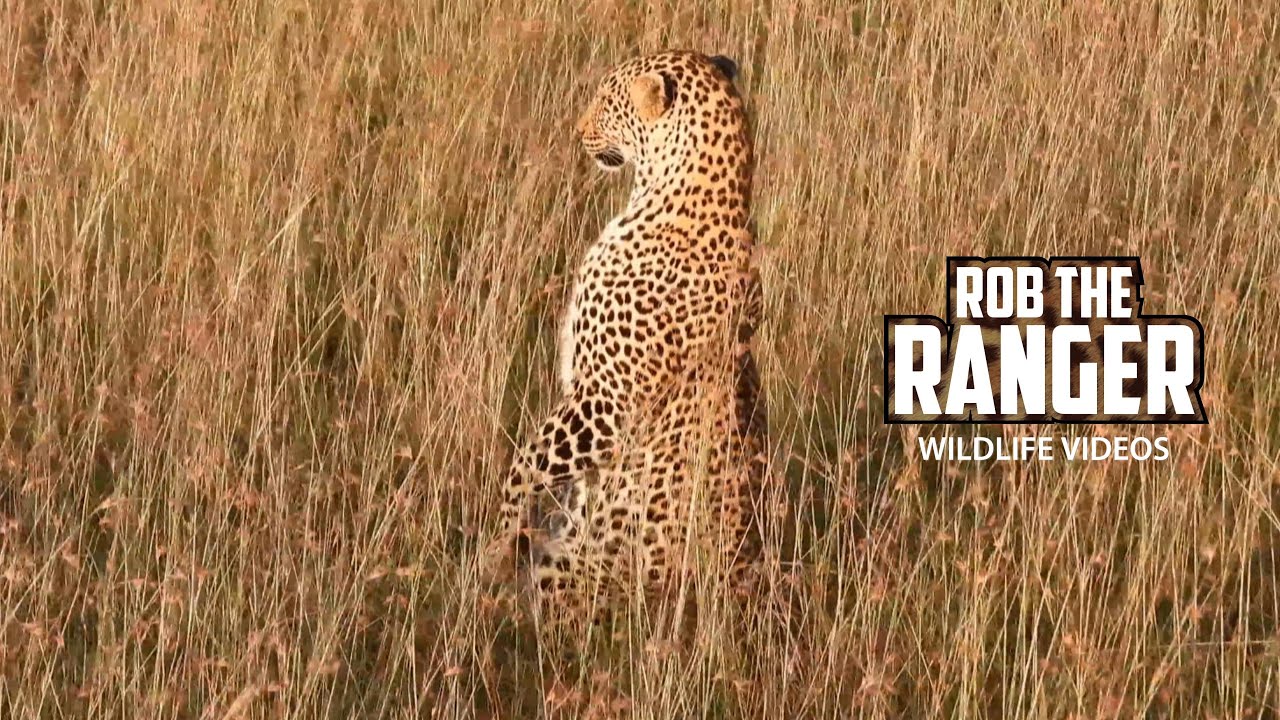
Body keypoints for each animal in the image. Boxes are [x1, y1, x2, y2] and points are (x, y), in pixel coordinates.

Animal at [488, 50, 768, 623]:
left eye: (605, 100)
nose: (577, 131)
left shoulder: (604, 401)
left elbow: (526, 463)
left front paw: (497, 539)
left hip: (571, 579)